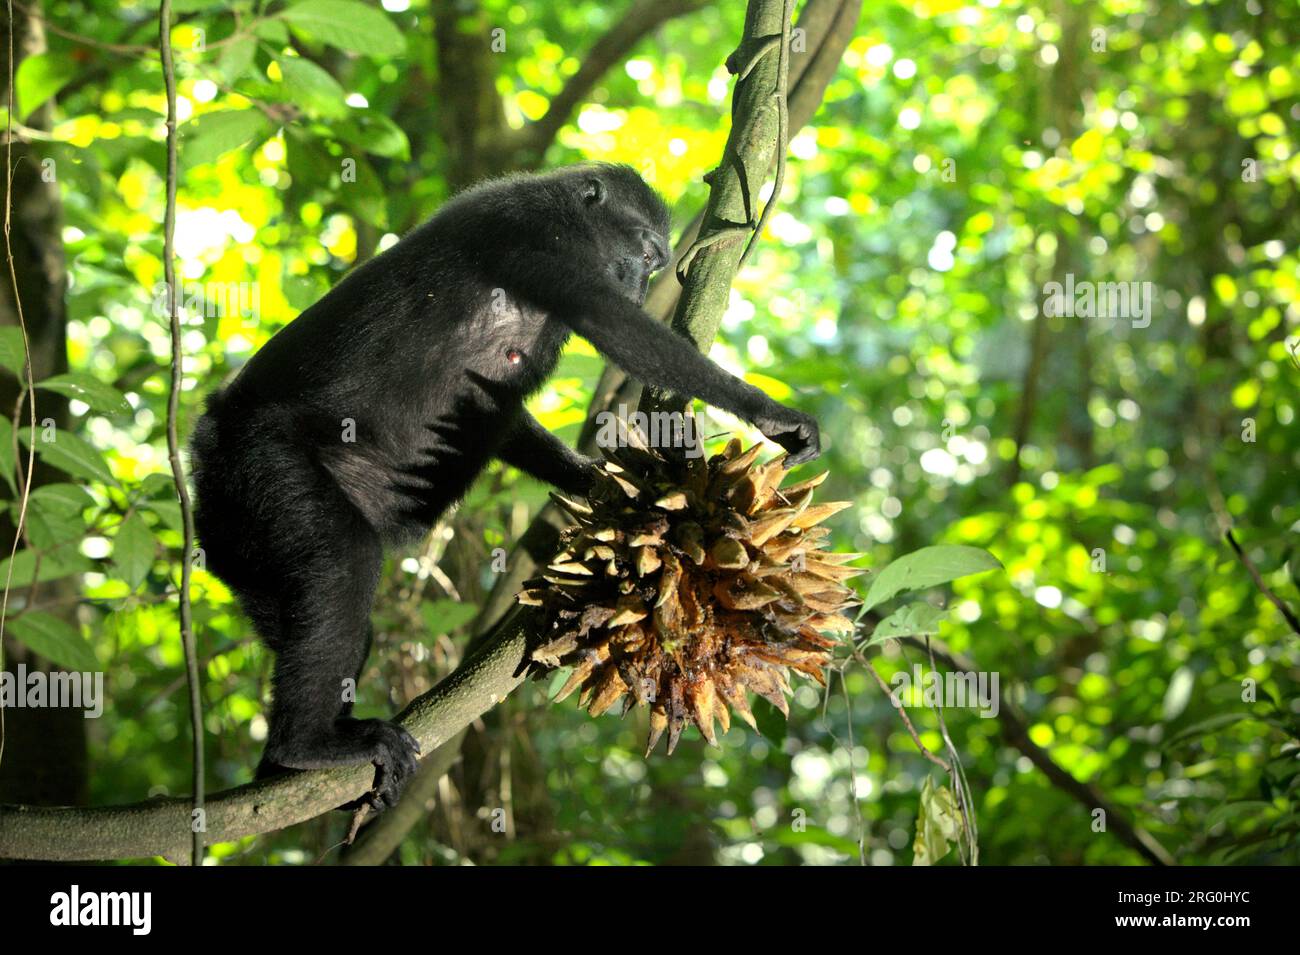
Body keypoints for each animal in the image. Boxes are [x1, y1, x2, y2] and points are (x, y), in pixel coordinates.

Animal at [190, 163, 821, 809]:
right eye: (645, 254)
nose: (641, 286)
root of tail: (207, 442)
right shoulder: (534, 236)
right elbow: (610, 322)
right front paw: (769, 413)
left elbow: (505, 414)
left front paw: (600, 482)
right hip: (264, 466)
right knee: (343, 564)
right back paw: (308, 744)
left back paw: (287, 764)